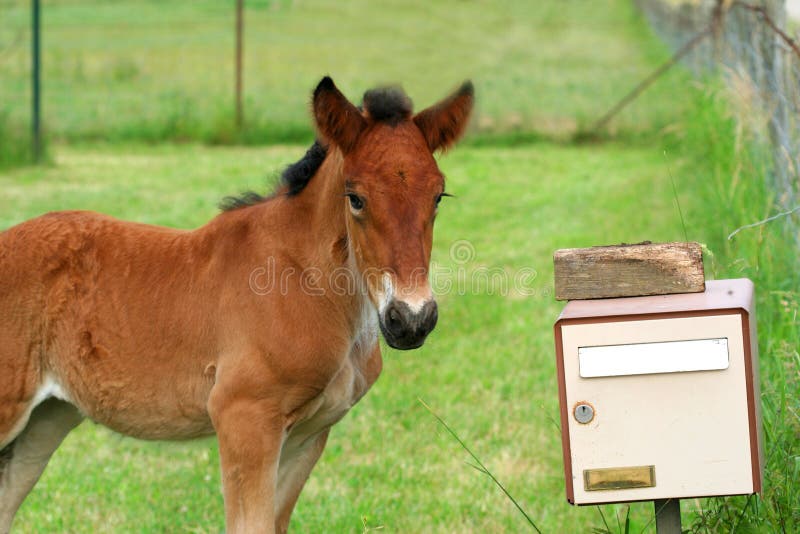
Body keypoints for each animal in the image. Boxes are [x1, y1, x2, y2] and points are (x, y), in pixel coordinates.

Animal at [0, 77, 473, 533]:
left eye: (438, 196)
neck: (304, 280)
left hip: (46, 420)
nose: (411, 319)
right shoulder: (243, 416)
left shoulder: (307, 436)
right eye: (355, 197)